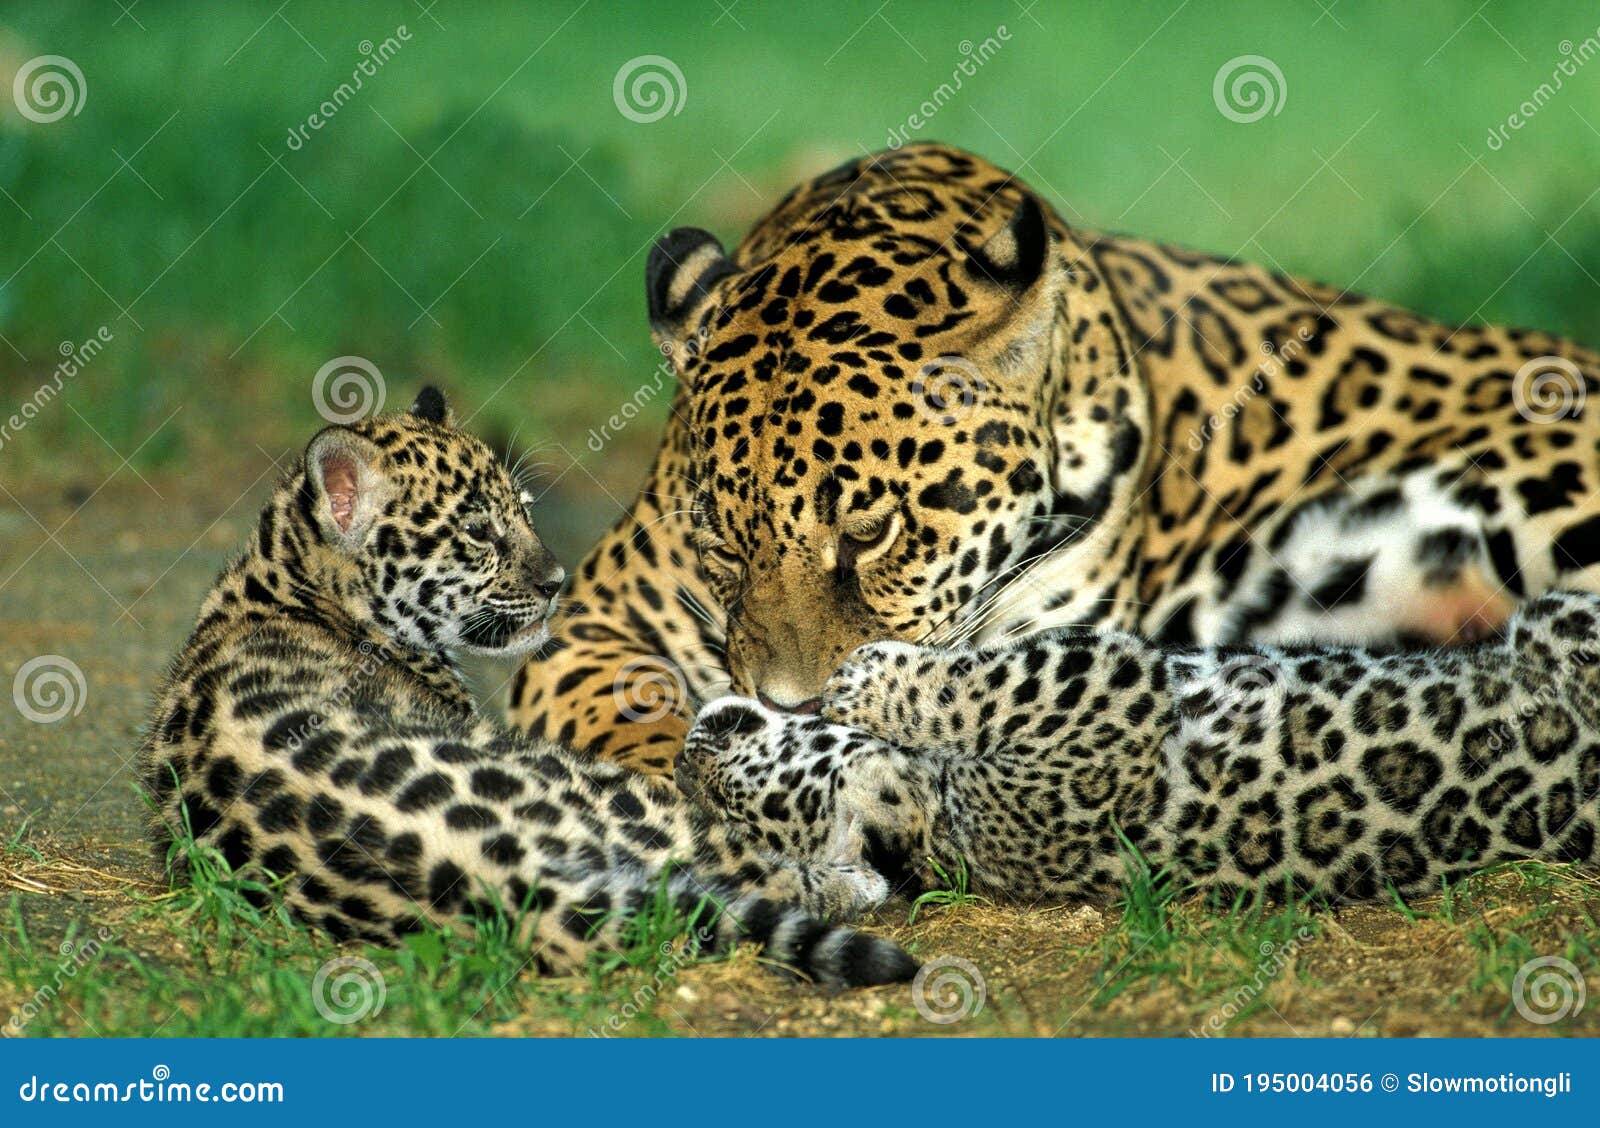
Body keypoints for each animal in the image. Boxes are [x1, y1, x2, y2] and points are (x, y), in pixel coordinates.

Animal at [137, 388, 916, 988]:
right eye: (480, 532)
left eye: (525, 509)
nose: (554, 581)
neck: (289, 583)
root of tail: (492, 875)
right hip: (619, 793)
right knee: (746, 859)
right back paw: (856, 877)